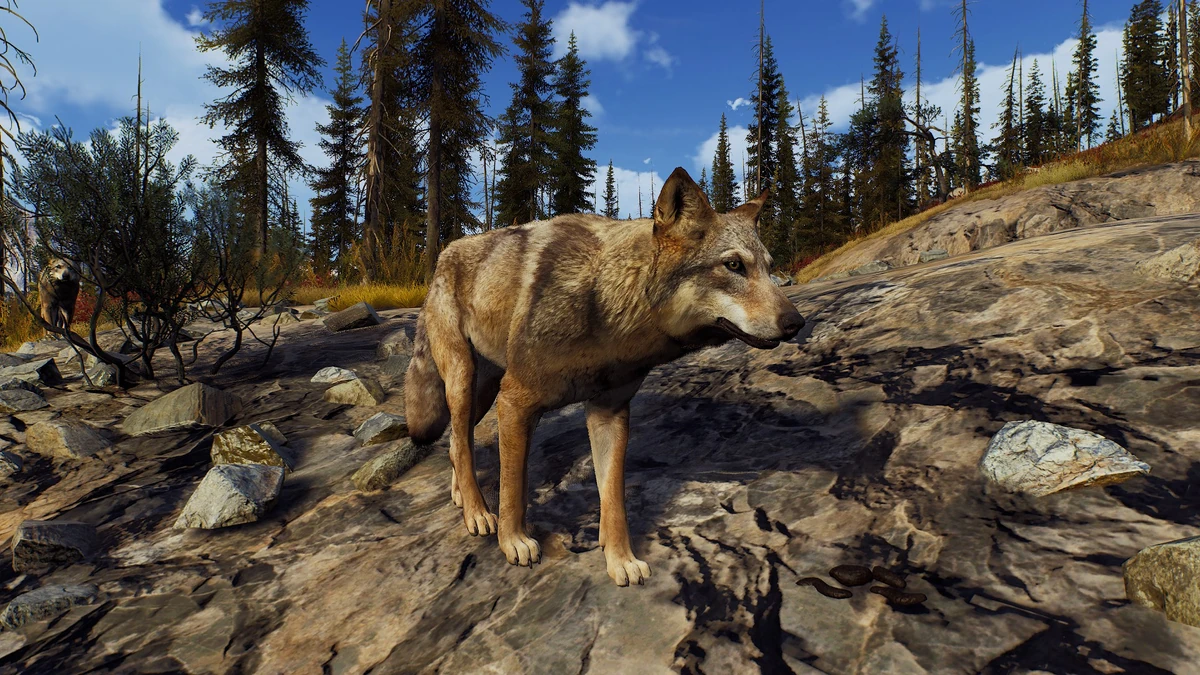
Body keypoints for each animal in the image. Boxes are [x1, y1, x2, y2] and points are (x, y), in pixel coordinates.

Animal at [405, 167, 804, 586]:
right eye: (734, 266)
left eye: (769, 267)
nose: (796, 323)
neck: (607, 305)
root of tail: (442, 256)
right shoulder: (516, 400)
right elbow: (514, 487)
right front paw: (514, 541)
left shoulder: (608, 411)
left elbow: (613, 497)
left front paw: (620, 559)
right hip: (465, 379)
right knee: (460, 442)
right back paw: (478, 513)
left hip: (482, 392)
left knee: (456, 440)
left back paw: (463, 498)